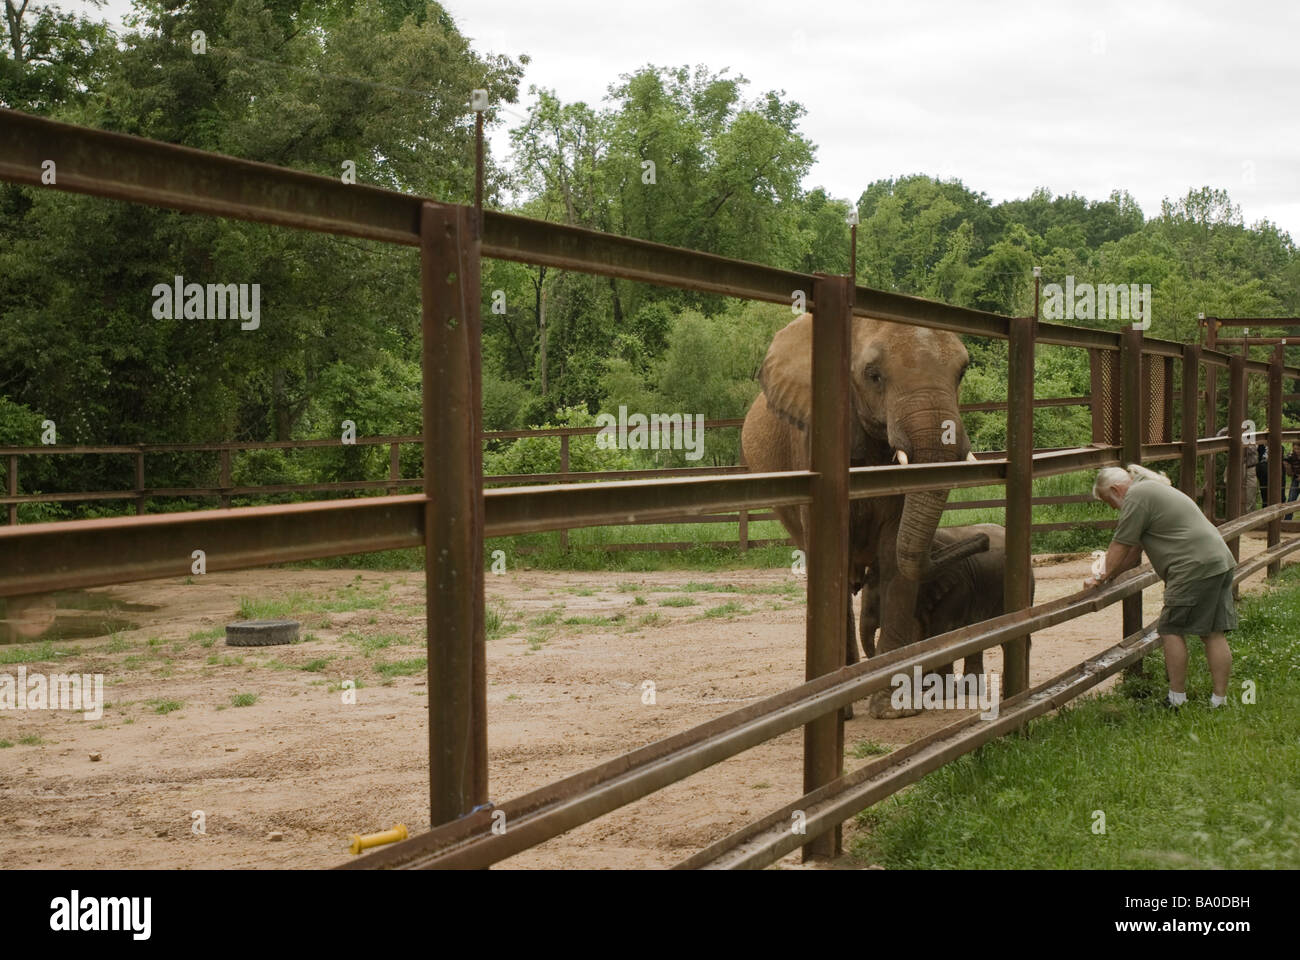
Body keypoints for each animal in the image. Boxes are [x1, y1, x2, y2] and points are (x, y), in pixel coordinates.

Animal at [741, 311, 990, 719]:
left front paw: (894, 709)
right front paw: (838, 708)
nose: (983, 541)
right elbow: (833, 556)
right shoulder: (809, 443)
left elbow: (894, 553)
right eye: (873, 376)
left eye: (962, 373)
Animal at [858, 523, 1034, 697]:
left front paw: (942, 694)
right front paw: (925, 688)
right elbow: (921, 633)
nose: (983, 541)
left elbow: (941, 631)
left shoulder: (958, 587)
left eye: (879, 602)